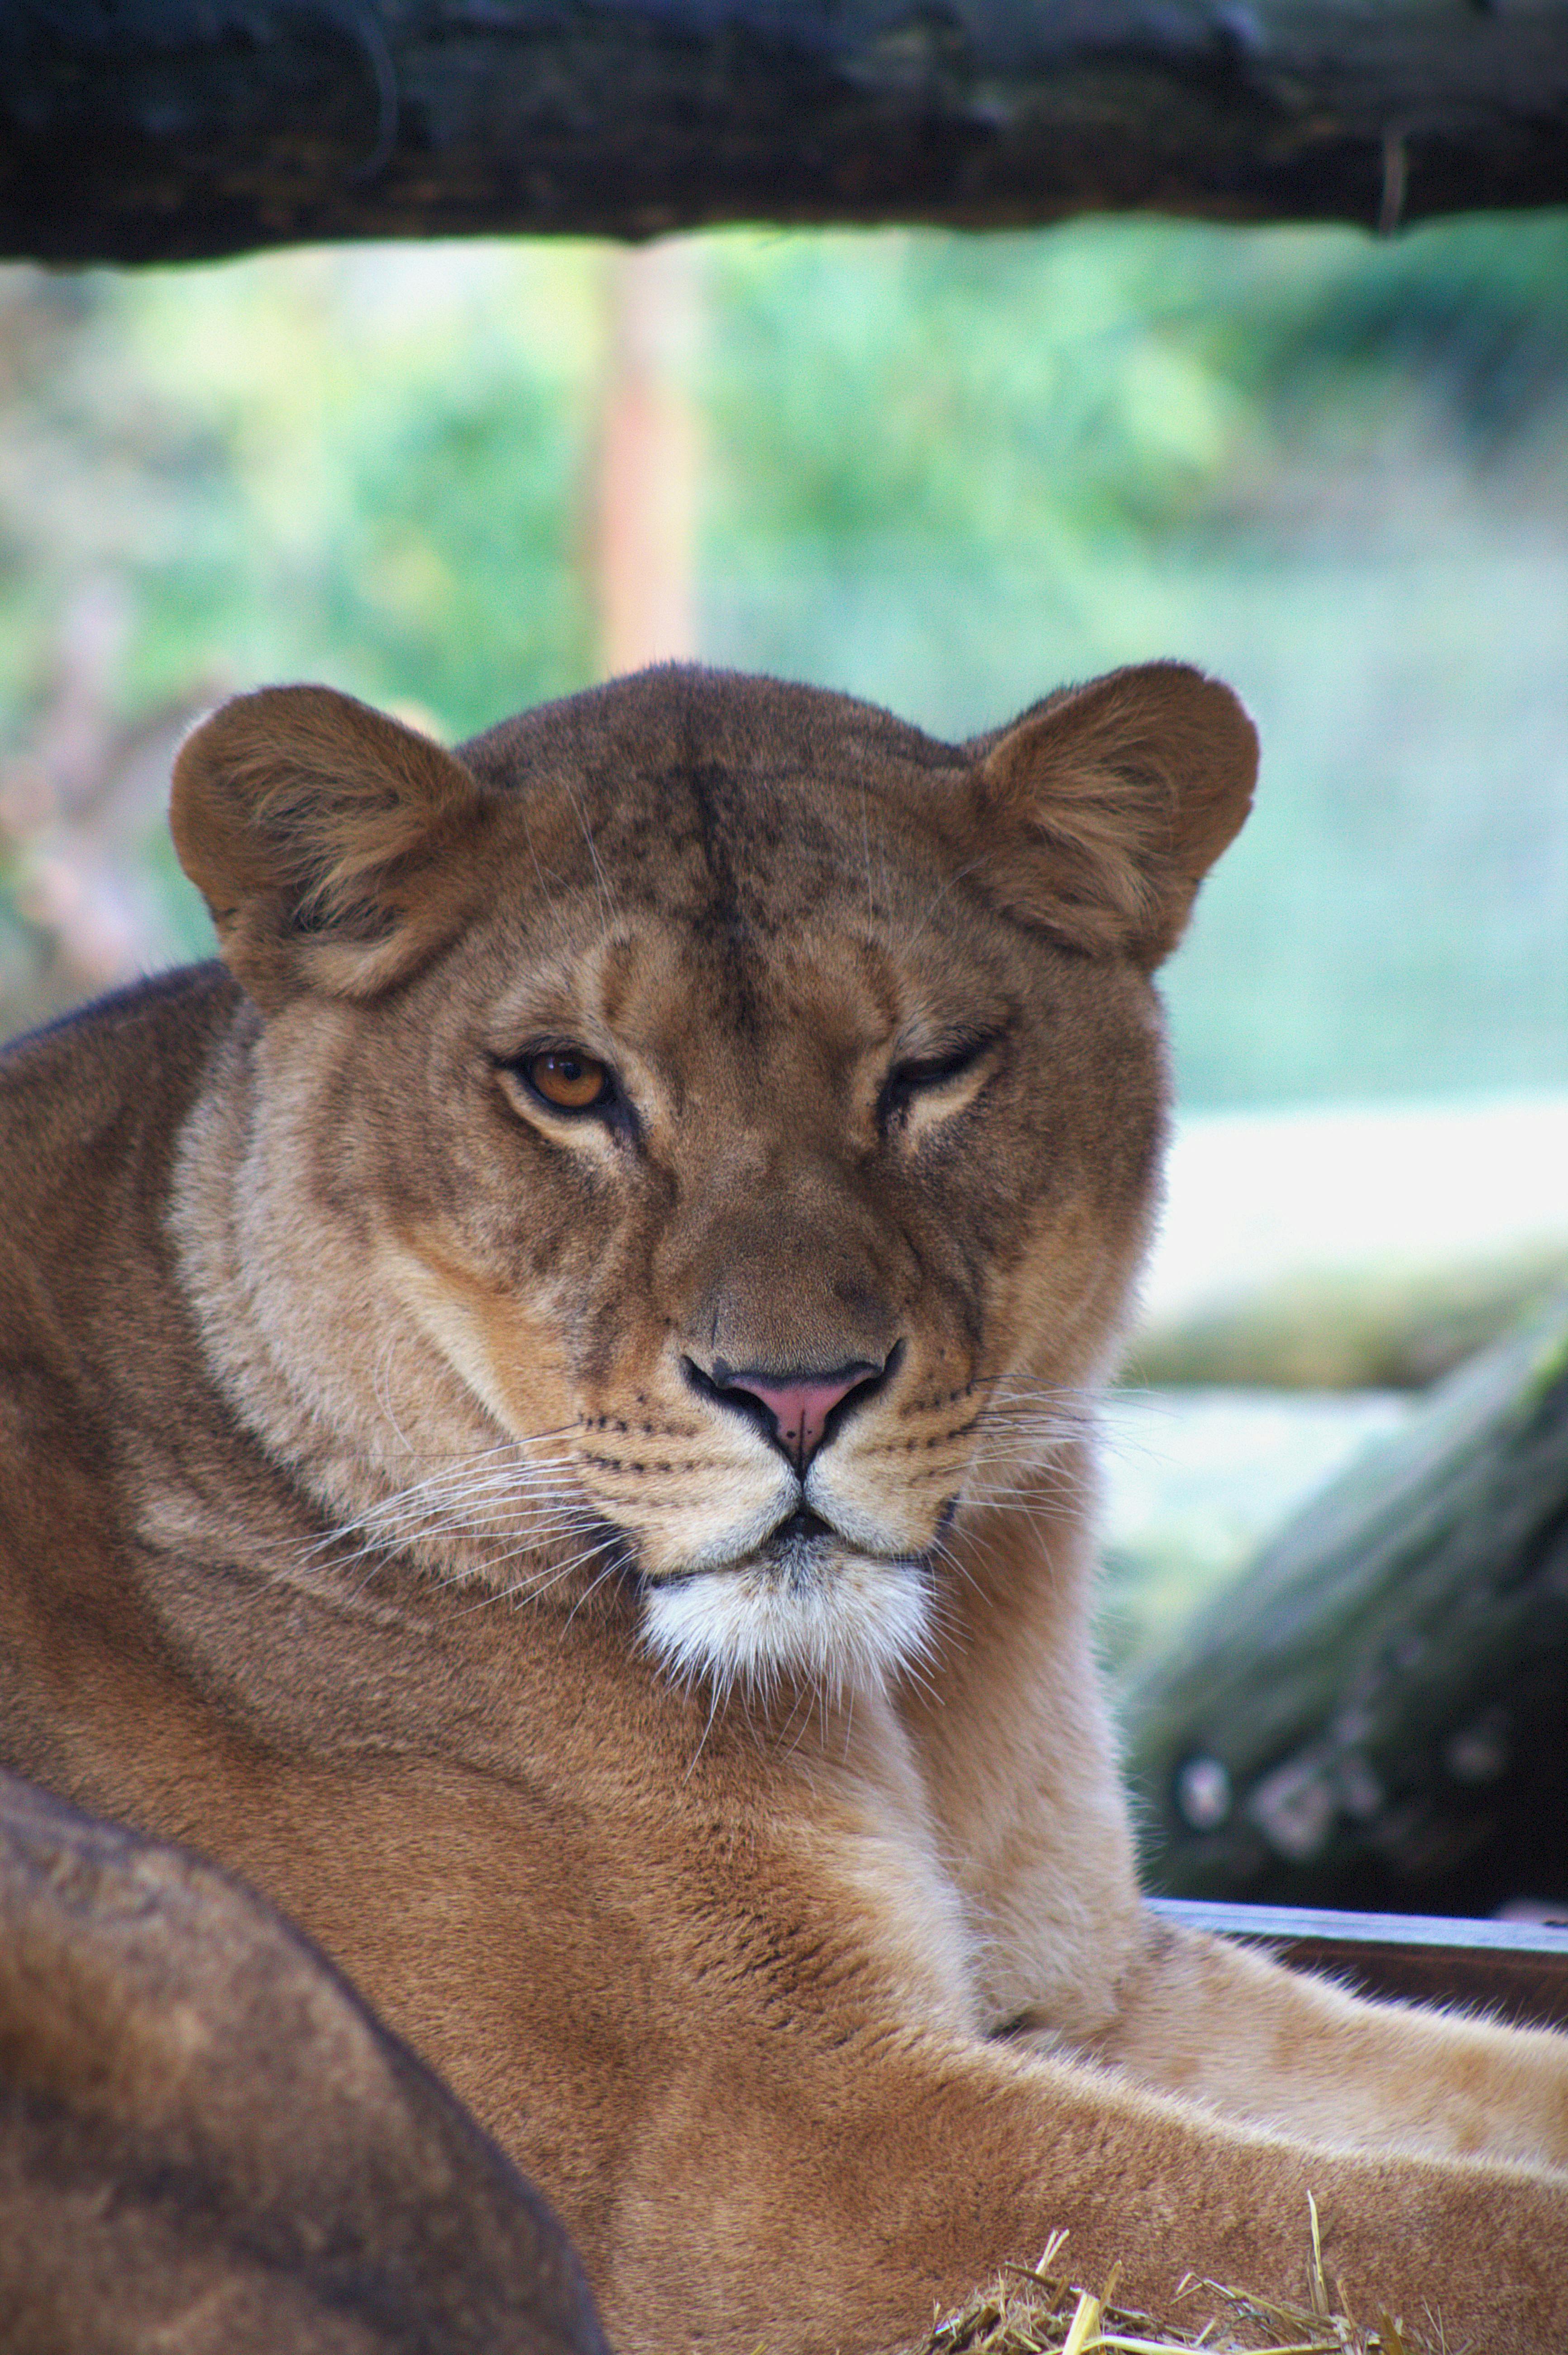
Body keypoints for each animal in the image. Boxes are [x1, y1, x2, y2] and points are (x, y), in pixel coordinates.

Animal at [1, 660, 1566, 2354]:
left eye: (932, 1069)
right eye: (567, 1079)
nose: (798, 1394)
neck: (909, 1703)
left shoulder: (1089, 1987)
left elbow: (1473, 2091)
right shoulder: (763, 2142)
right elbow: (1422, 2229)